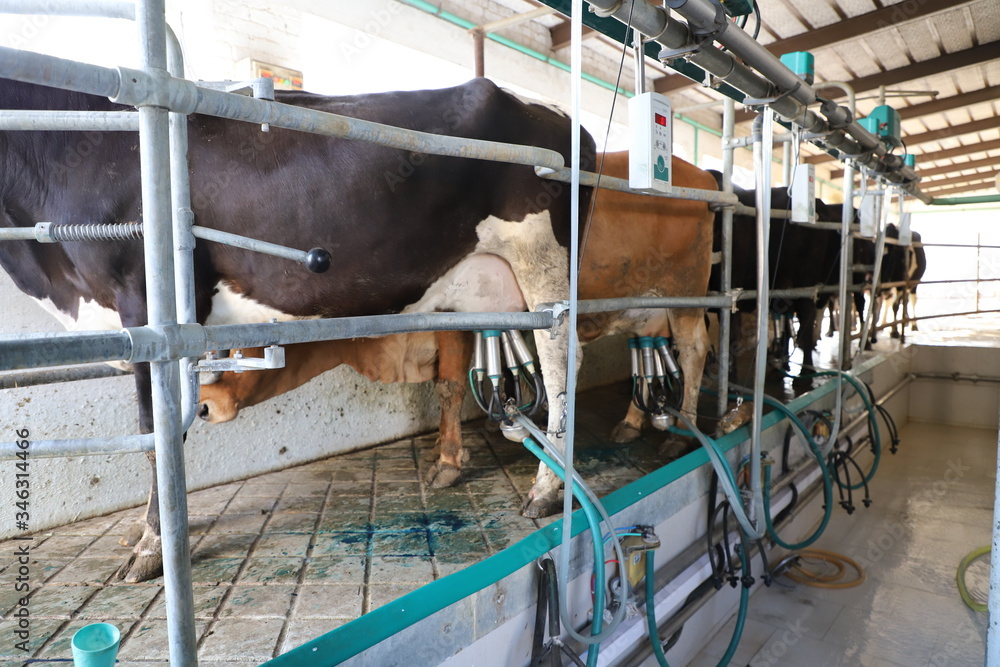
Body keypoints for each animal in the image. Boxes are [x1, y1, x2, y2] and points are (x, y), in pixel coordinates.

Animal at [0, 77, 594, 581]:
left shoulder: (144, 305)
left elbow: (157, 437)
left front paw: (153, 547)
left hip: (545, 263)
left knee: (562, 362)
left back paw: (547, 491)